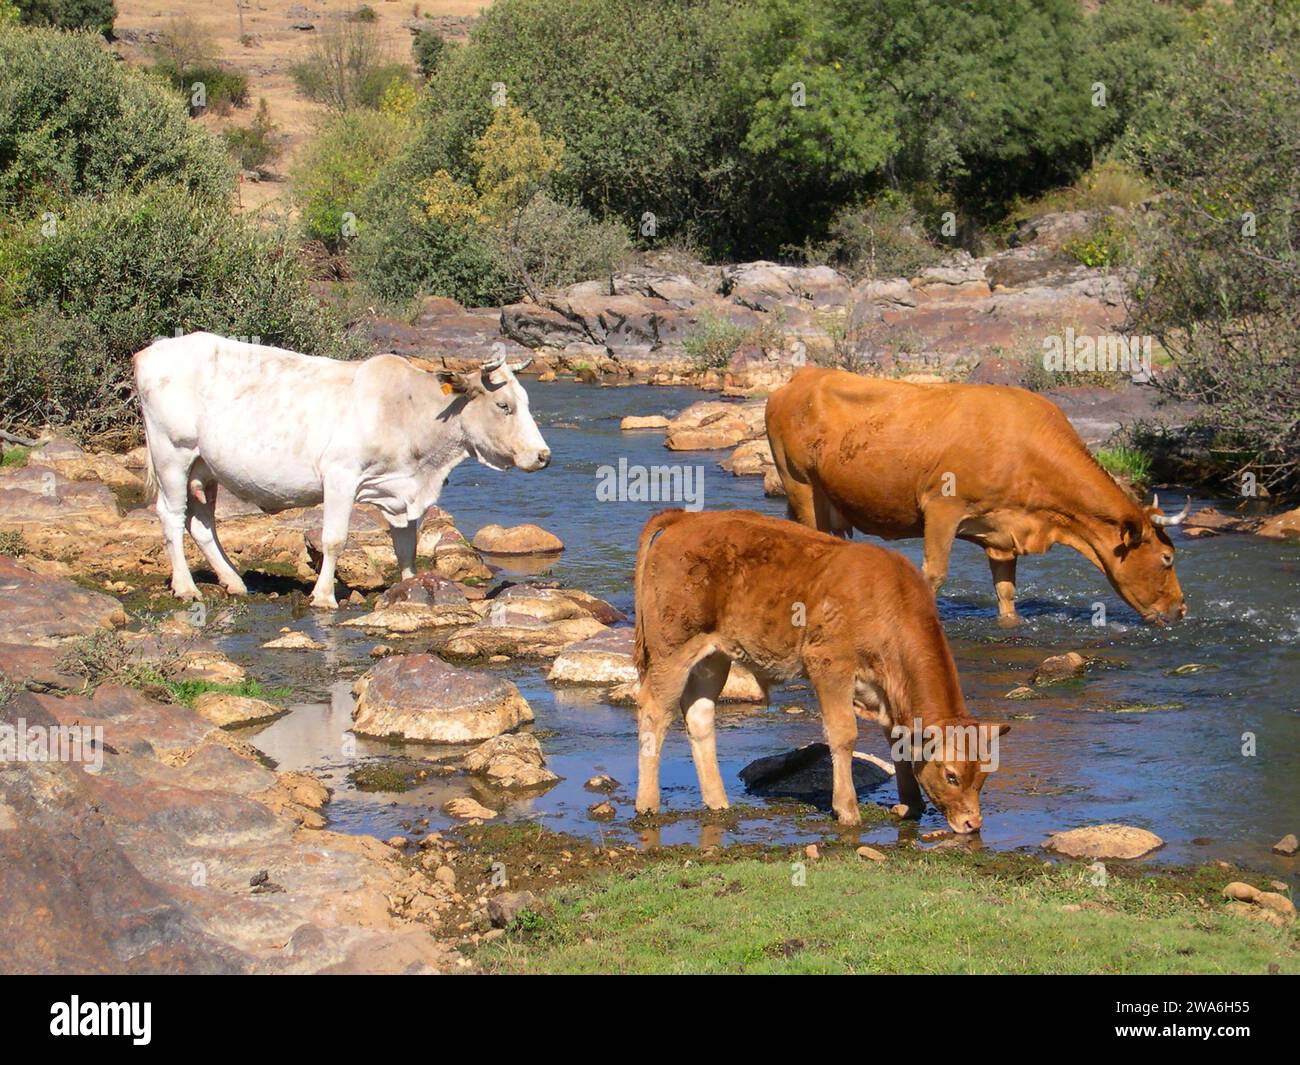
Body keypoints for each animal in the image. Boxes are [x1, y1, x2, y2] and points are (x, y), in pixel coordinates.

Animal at [134, 332, 550, 608]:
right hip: (173, 453)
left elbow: (407, 547)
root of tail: (150, 351)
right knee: (171, 516)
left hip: (205, 467)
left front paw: (413, 588)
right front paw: (323, 596)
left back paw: (234, 581)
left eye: (527, 400)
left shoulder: (401, 491)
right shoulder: (340, 475)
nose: (543, 455)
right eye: (503, 405)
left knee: (201, 522)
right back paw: (186, 586)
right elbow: (335, 539)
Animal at [632, 509, 1009, 831]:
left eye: (983, 776)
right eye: (951, 776)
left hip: (713, 657)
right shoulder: (829, 664)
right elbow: (843, 734)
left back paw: (717, 801)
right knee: (654, 711)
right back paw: (648, 804)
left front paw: (910, 805)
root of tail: (686, 518)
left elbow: (898, 739)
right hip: (672, 649)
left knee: (699, 714)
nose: (972, 823)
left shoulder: (885, 690)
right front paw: (847, 809)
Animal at [766, 367, 1189, 625]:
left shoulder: (1002, 532)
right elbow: (934, 575)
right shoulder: (942, 506)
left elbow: (1006, 591)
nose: (1182, 609)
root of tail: (803, 375)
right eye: (1167, 558)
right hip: (800, 484)